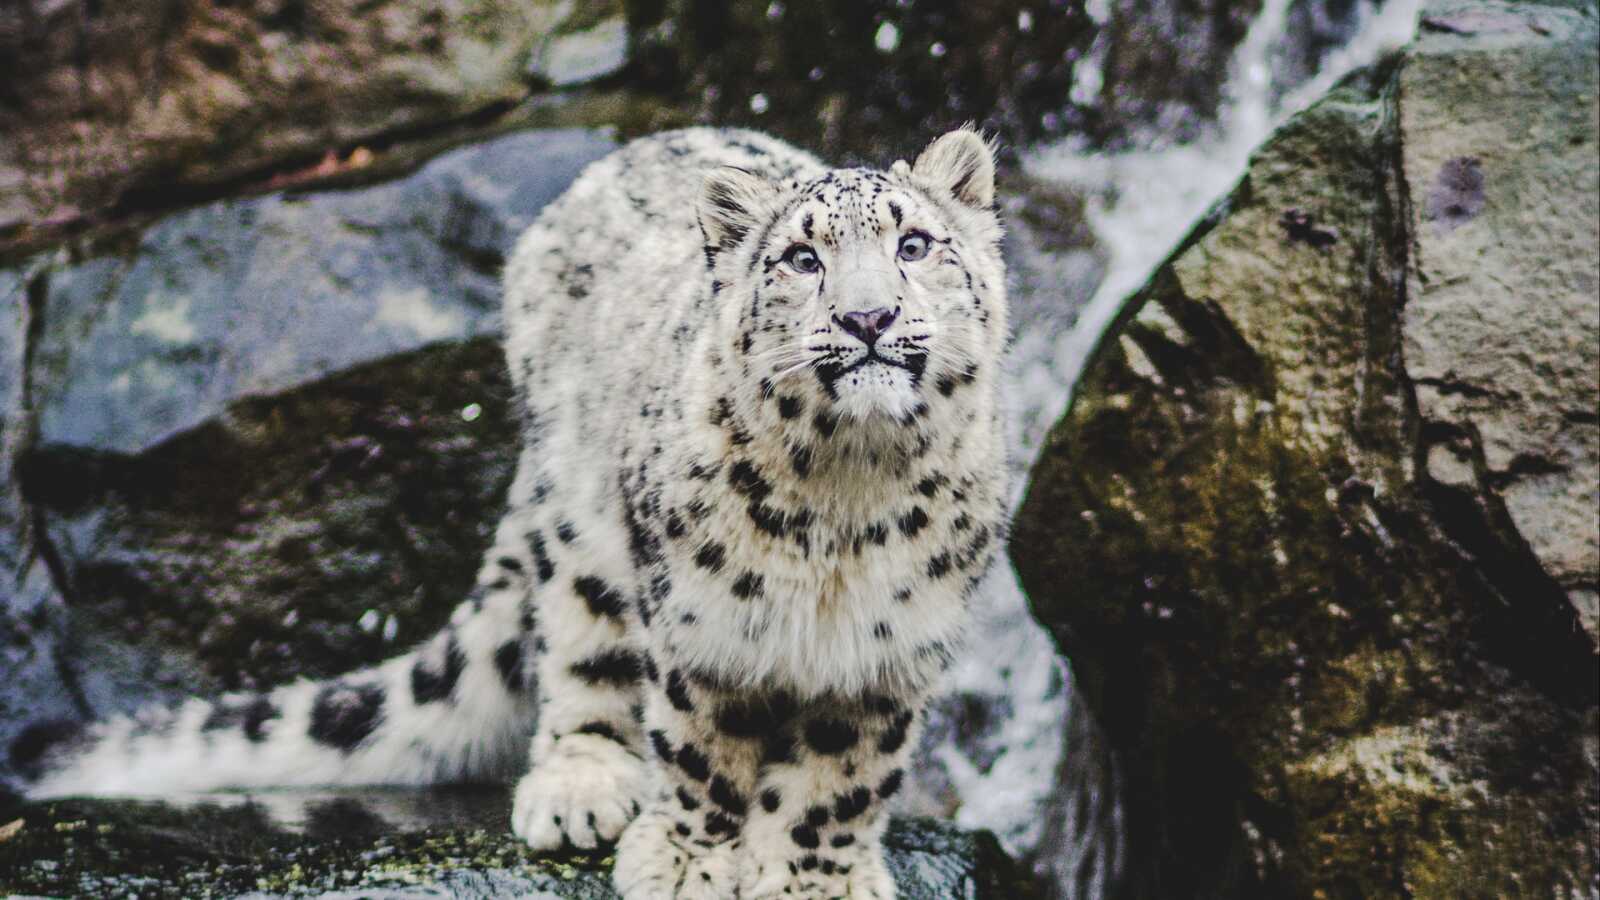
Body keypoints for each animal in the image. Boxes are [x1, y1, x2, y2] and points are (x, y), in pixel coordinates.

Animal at [30, 126, 1009, 899]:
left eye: (915, 243)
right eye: (803, 259)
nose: (868, 316)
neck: (849, 500)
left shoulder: (892, 644)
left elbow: (844, 773)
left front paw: (816, 876)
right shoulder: (701, 621)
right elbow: (701, 745)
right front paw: (689, 860)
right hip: (582, 529)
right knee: (580, 649)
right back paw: (580, 788)